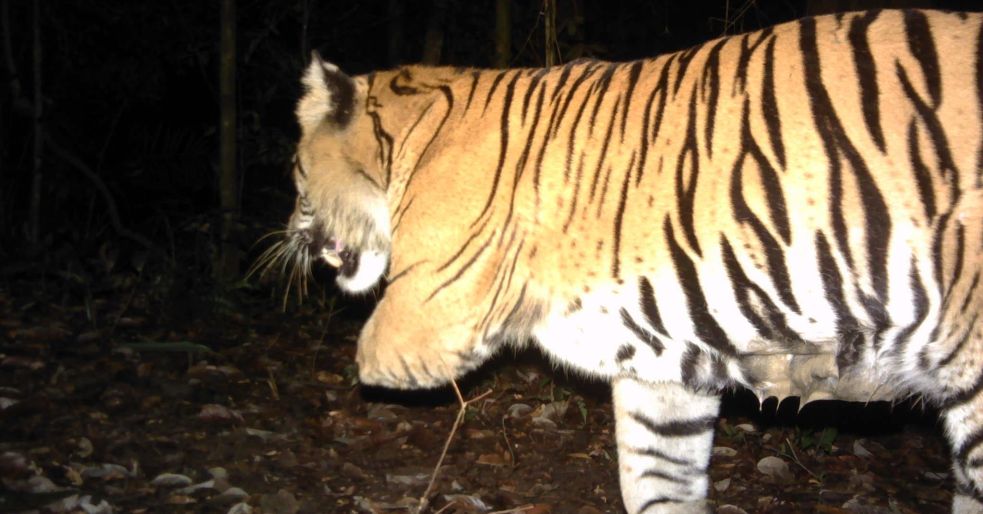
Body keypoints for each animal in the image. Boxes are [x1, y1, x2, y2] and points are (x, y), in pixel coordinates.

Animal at [273, 9, 983, 514]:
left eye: (297, 174)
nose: (287, 233)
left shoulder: (424, 316)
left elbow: (374, 355)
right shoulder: (666, 368)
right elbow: (659, 478)